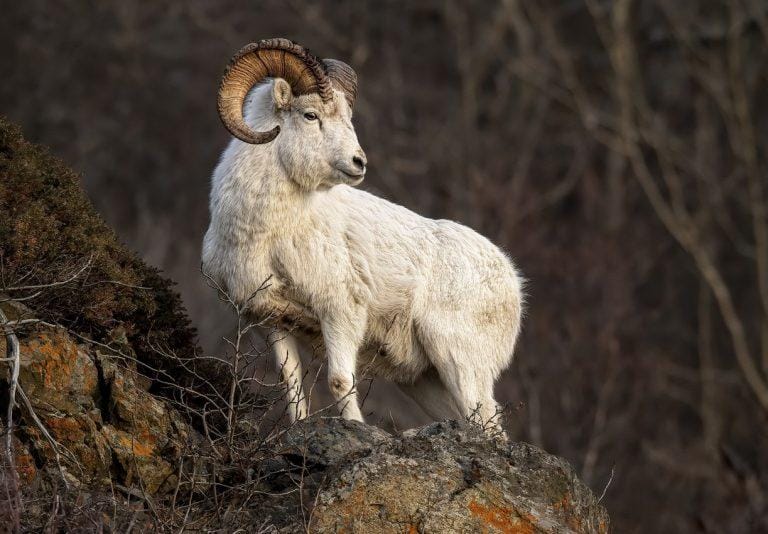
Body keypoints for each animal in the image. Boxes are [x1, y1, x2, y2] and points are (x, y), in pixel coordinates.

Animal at [202, 38, 523, 433]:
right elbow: (292, 389)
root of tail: (511, 280)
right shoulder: (272, 321)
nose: (359, 163)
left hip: (461, 363)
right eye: (310, 115)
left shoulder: (340, 314)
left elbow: (340, 381)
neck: (265, 236)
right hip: (425, 380)